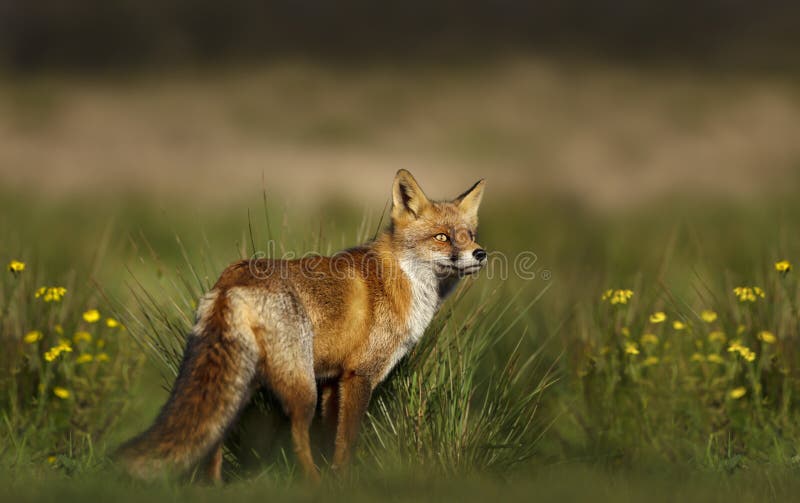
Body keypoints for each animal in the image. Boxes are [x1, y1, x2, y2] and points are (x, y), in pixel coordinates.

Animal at [116, 169, 487, 482]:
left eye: (469, 235)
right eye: (442, 237)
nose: (480, 253)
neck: (397, 281)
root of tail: (231, 279)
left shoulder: (332, 380)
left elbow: (329, 440)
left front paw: (336, 477)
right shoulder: (359, 375)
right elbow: (346, 442)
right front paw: (343, 483)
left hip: (245, 384)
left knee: (215, 434)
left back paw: (213, 487)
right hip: (301, 387)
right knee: (295, 437)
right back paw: (312, 483)